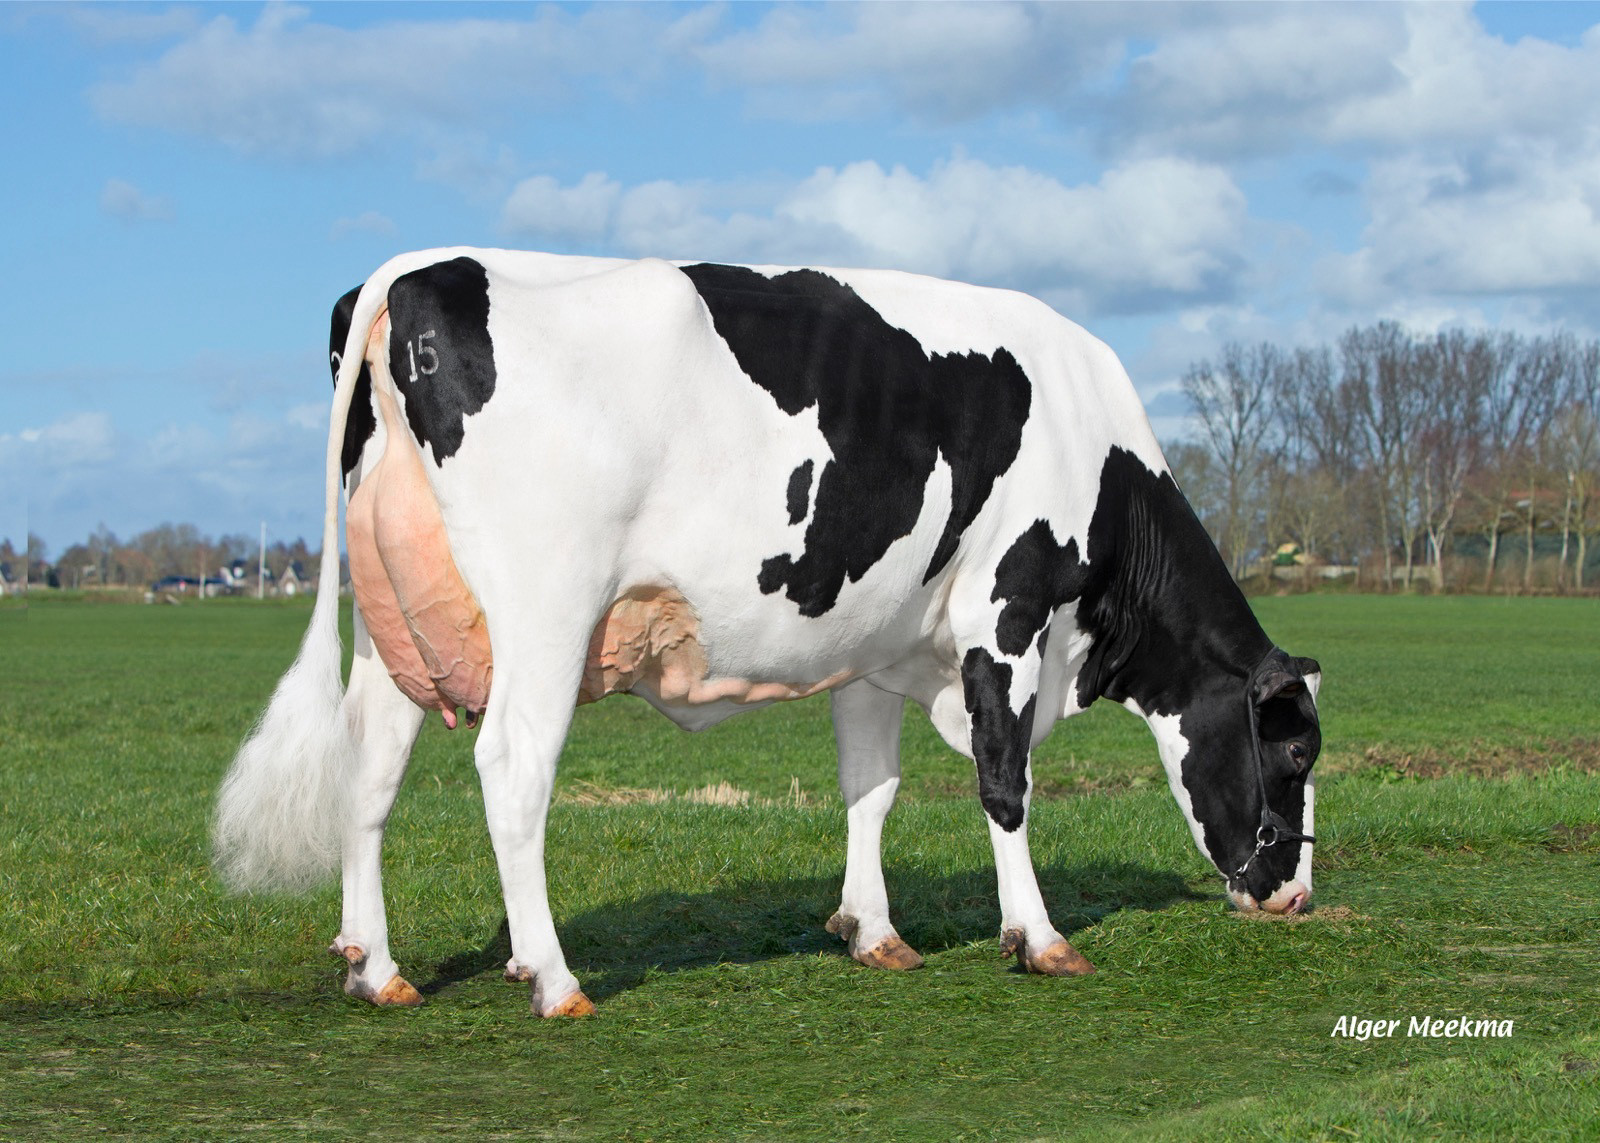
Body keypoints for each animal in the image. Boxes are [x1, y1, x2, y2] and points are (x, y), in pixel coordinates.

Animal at [215, 249, 1323, 1017]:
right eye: (1296, 750)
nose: (1295, 896)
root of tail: (417, 269)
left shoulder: (878, 643)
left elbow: (870, 787)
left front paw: (872, 931)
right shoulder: (1003, 611)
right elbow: (1004, 782)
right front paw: (1040, 937)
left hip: (399, 625)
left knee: (369, 770)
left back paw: (376, 968)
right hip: (546, 609)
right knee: (513, 772)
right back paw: (554, 979)